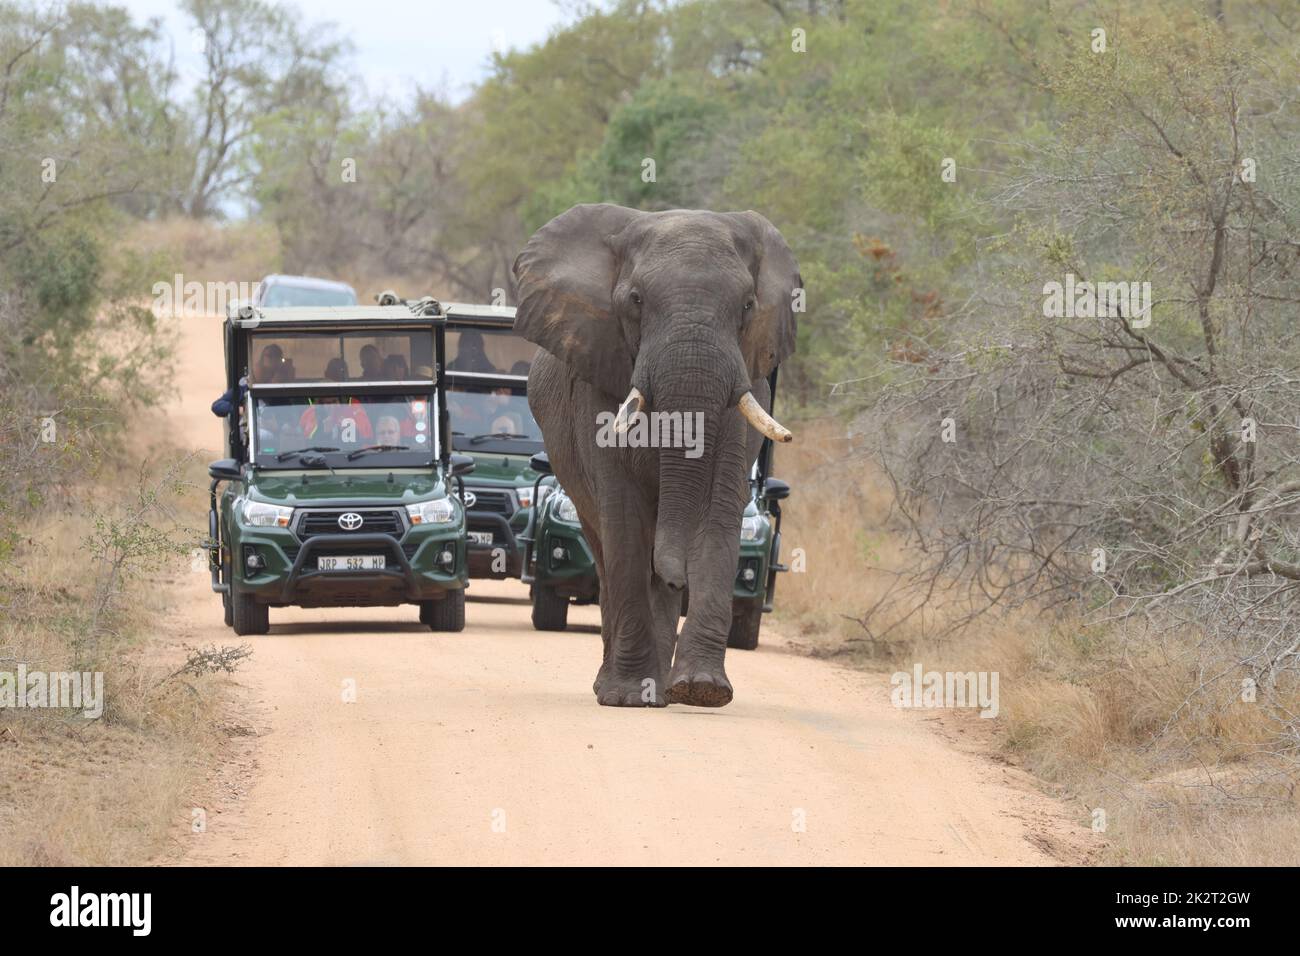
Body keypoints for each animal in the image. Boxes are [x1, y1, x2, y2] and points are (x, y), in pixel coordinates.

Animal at [512, 203, 800, 708]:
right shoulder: (599, 377)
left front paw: (703, 690)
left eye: (748, 306)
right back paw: (624, 686)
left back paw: (664, 688)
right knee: (606, 548)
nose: (677, 577)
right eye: (636, 300)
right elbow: (625, 524)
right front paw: (627, 695)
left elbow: (719, 513)